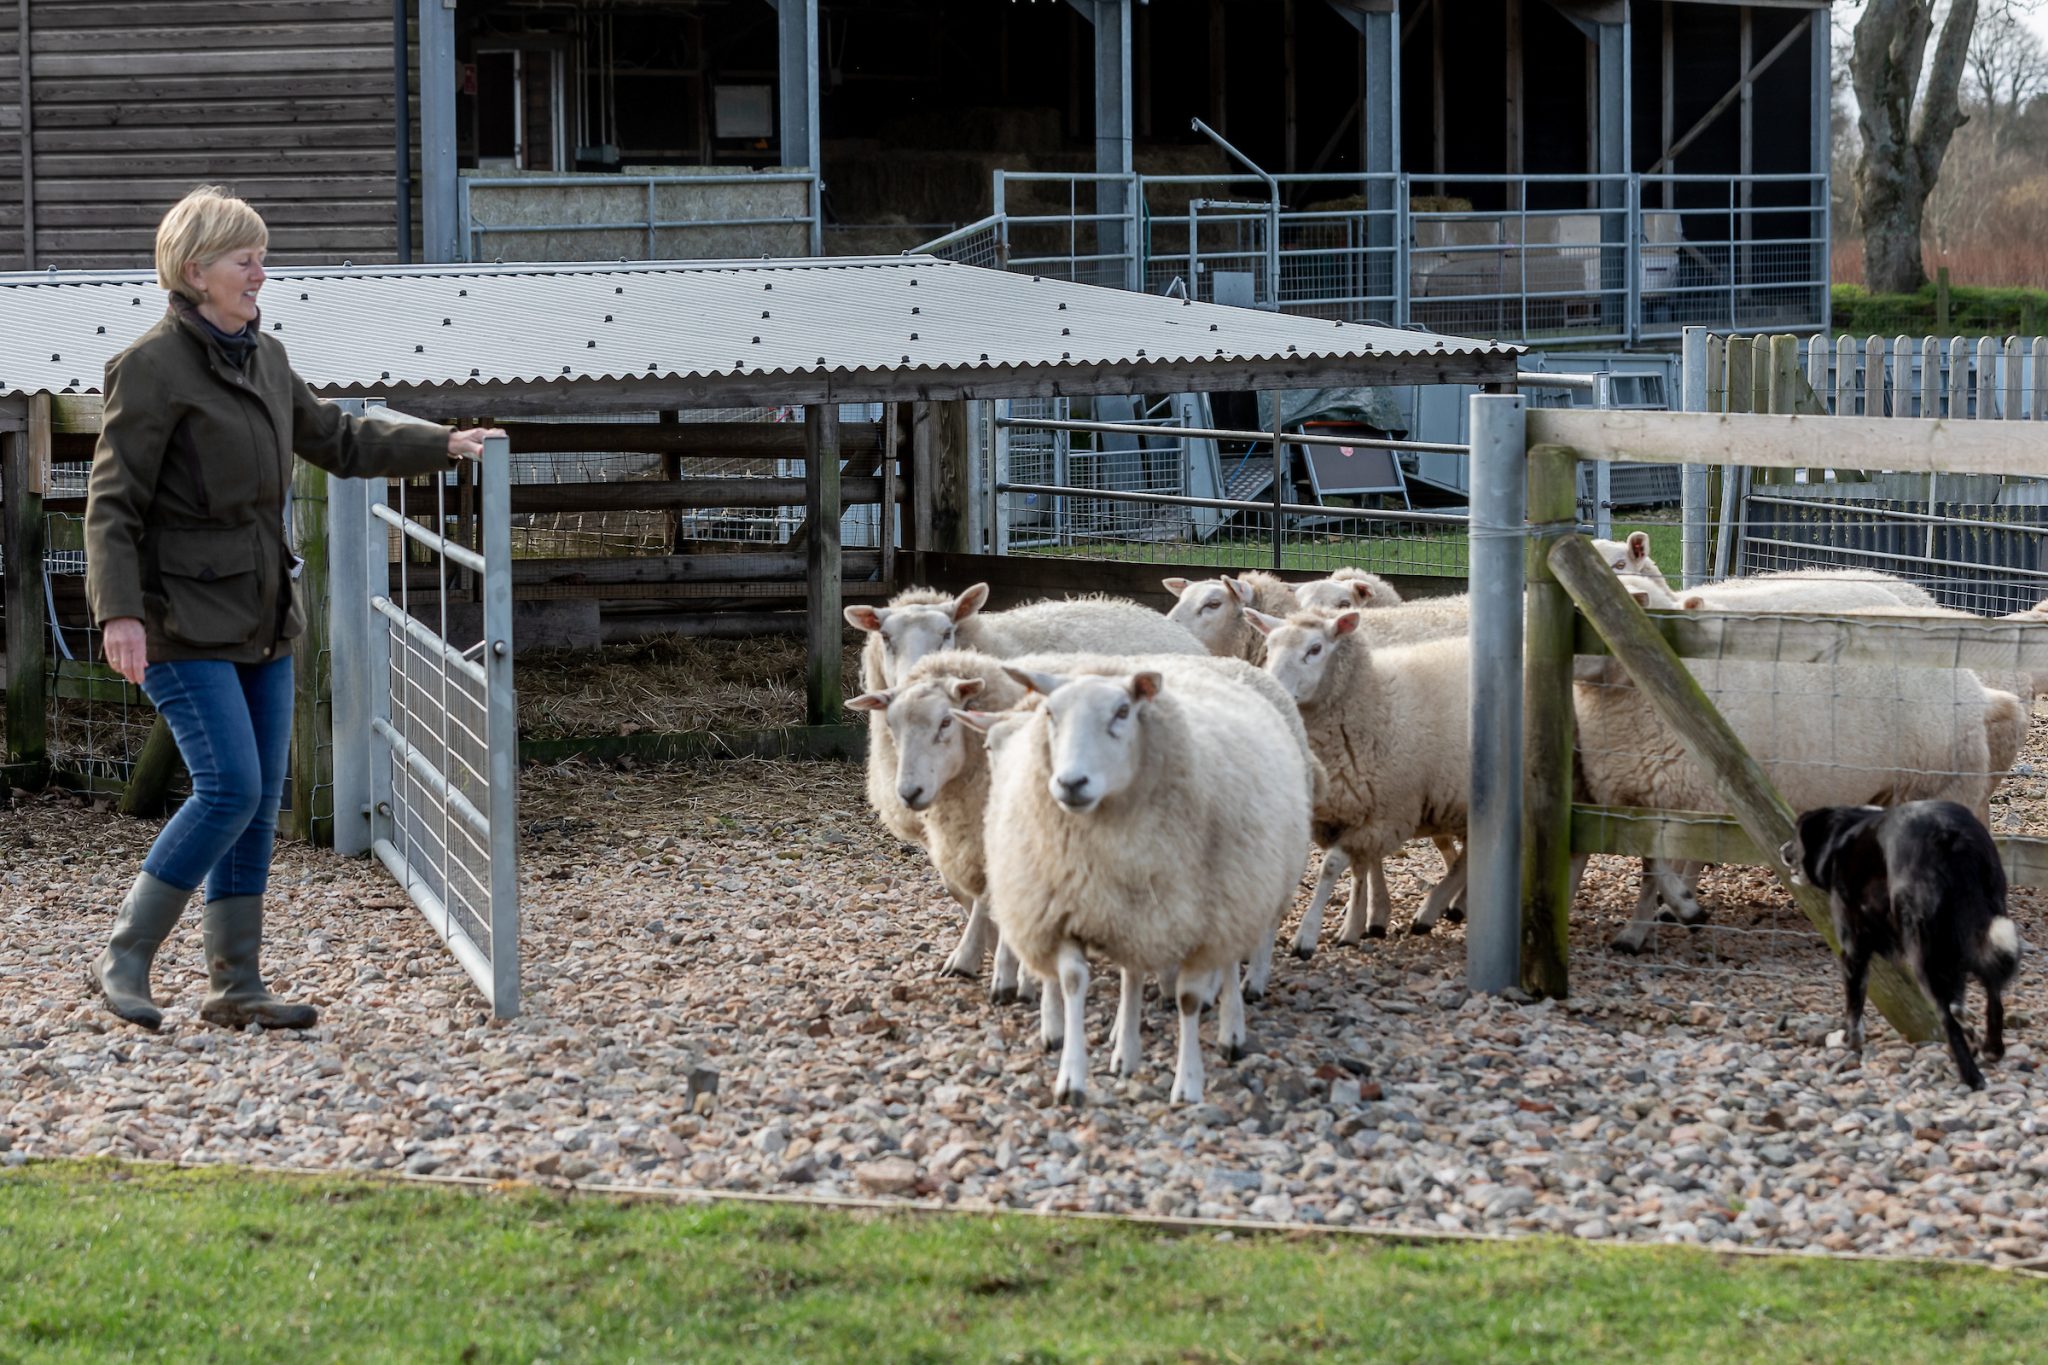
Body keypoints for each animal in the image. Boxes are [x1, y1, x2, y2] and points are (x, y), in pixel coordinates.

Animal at [972, 664, 1312, 1105]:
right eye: (1049, 714)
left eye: (1122, 712)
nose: (1070, 783)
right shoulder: (1067, 911)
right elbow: (1074, 981)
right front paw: (1071, 1078)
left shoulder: (1207, 921)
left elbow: (1188, 998)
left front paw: (1187, 1083)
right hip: (1138, 917)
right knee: (1132, 975)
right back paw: (1126, 1051)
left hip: (1241, 895)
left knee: (1227, 961)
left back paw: (1231, 1032)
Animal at [1251, 609, 1471, 949]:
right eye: (1270, 646)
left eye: (1315, 649)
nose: (1272, 689)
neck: (1372, 701)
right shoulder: (1350, 810)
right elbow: (1362, 868)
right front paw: (1361, 923)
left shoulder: (1388, 811)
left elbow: (1333, 866)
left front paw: (1307, 935)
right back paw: (1452, 905)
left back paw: (1433, 909)